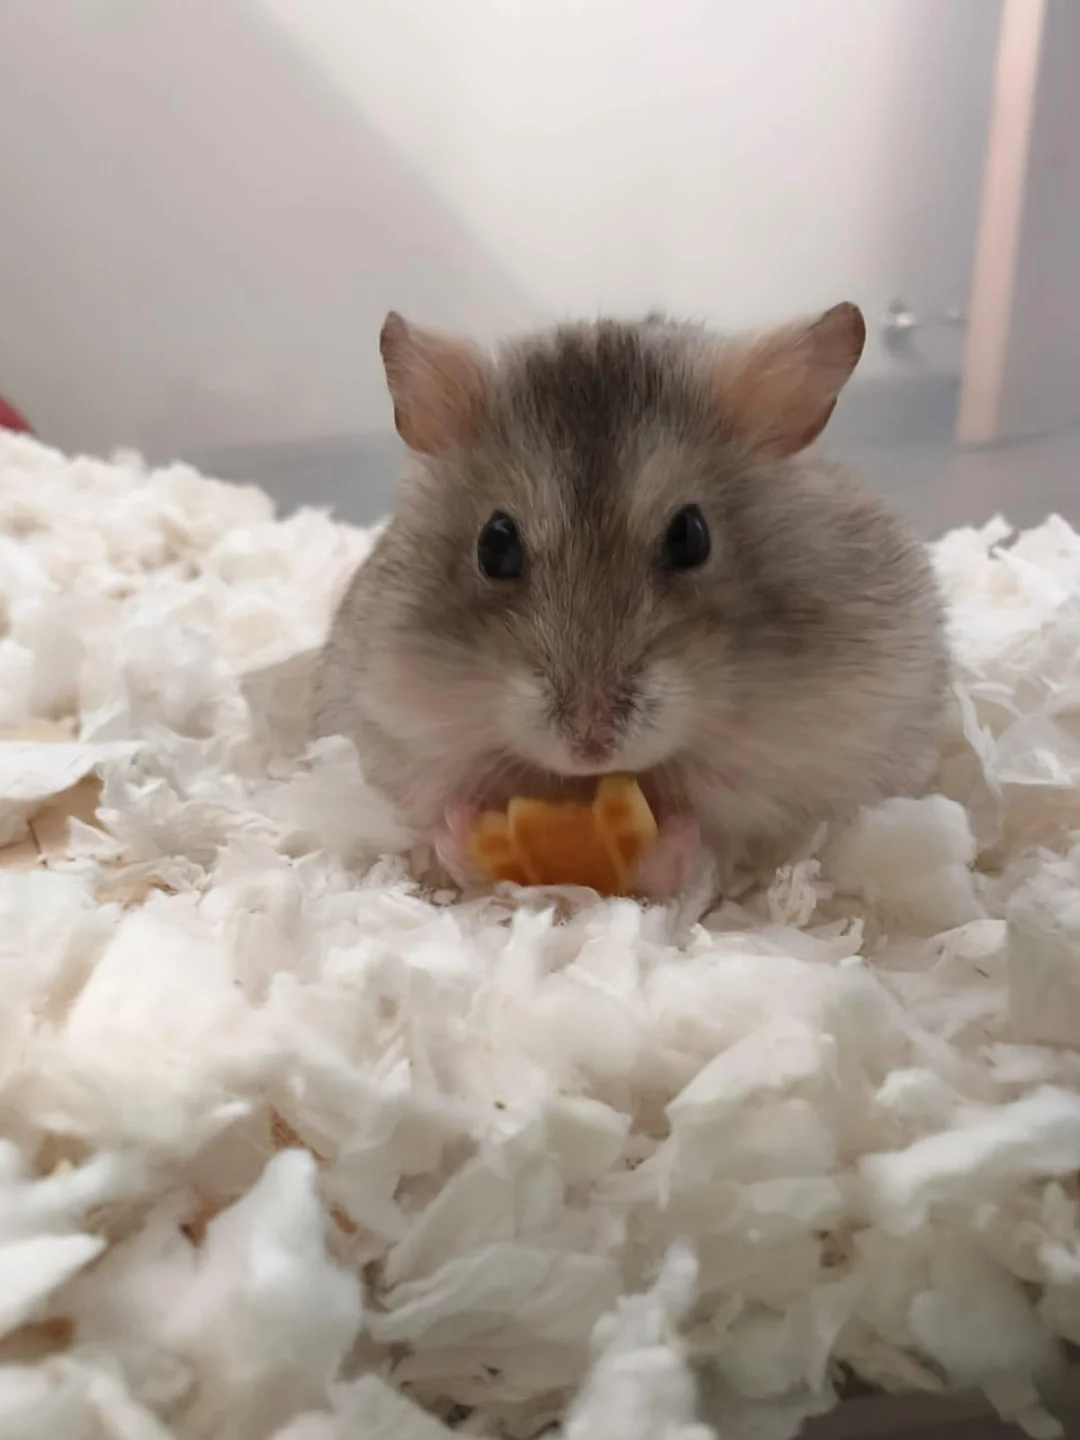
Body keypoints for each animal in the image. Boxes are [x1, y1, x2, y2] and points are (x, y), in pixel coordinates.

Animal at [313, 304, 948, 893]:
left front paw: (677, 839)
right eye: (495, 544)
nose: (591, 744)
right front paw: (458, 823)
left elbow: (711, 847)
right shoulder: (401, 737)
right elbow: (448, 837)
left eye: (692, 535)